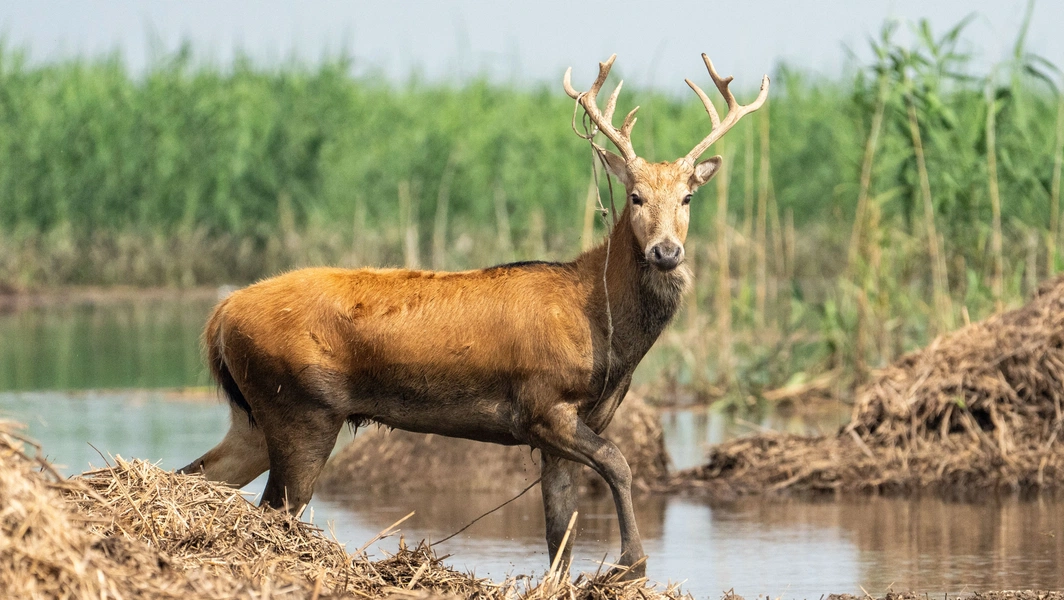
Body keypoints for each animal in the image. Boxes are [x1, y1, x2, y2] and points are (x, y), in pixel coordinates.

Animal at [178, 54, 767, 579]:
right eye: (636, 196)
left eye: (688, 197)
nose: (666, 252)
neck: (606, 332)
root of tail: (219, 316)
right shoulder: (542, 403)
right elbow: (619, 467)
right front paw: (631, 566)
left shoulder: (559, 430)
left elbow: (560, 532)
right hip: (302, 406)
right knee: (274, 508)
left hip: (256, 413)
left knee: (201, 472)